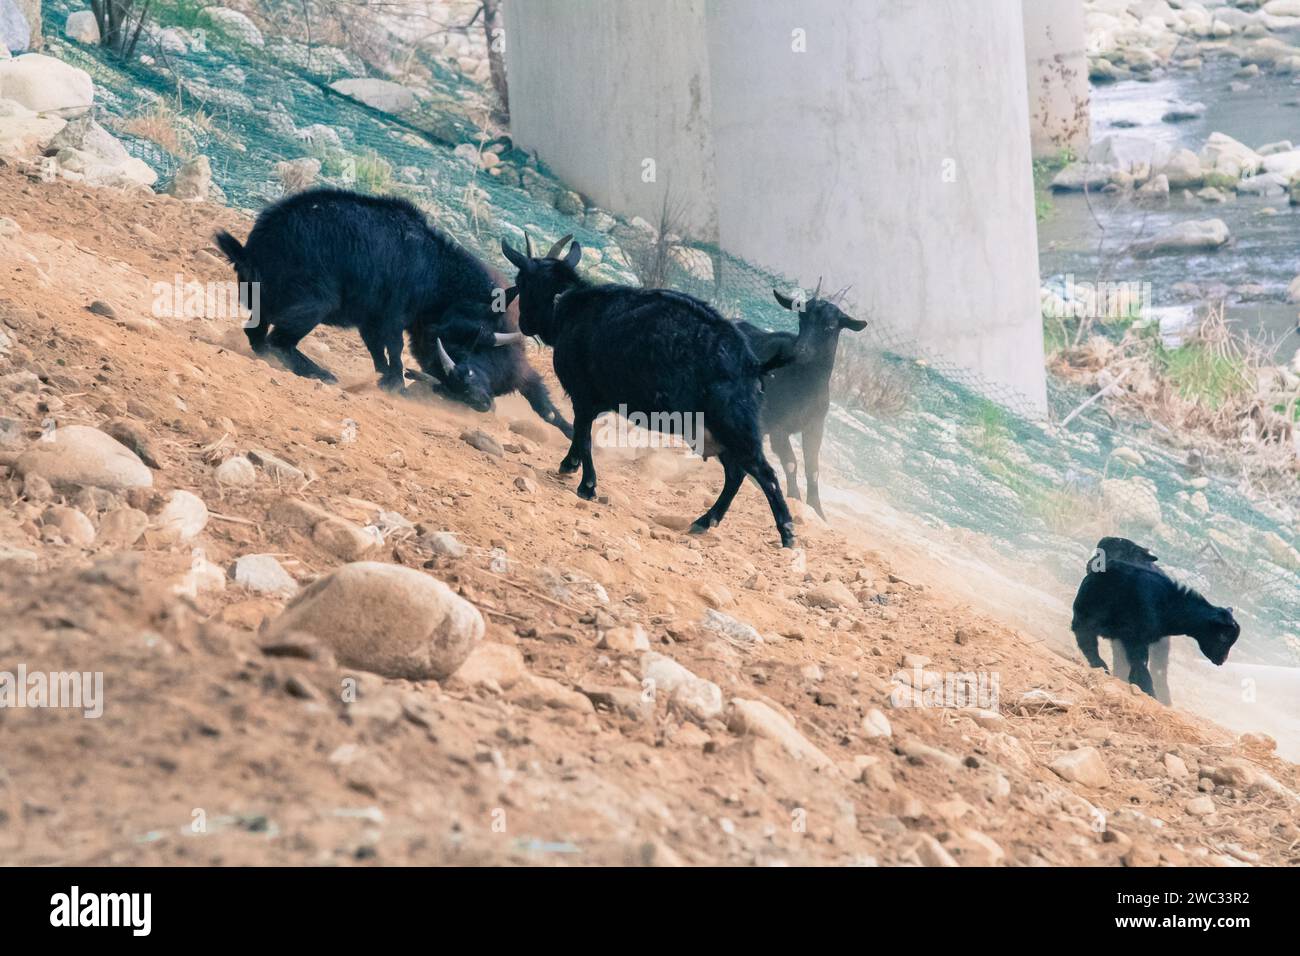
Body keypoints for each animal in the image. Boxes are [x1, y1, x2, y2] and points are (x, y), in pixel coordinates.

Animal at [214, 188, 570, 436]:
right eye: (476, 335)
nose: (470, 393)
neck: (435, 270)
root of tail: (249, 252)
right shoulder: (392, 314)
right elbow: (394, 348)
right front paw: (396, 383)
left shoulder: (374, 319)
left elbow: (379, 350)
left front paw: (386, 379)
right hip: (314, 303)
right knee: (279, 341)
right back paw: (321, 373)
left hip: (267, 308)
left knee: (258, 336)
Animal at [500, 236, 797, 548]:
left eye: (521, 281)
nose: (523, 323)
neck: (568, 305)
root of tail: (753, 365)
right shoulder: (592, 401)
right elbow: (581, 434)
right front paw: (570, 466)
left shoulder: (584, 394)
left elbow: (584, 436)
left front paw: (586, 485)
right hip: (710, 431)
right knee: (736, 472)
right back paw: (705, 522)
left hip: (734, 426)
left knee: (764, 473)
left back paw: (786, 533)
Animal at [735, 282, 866, 520]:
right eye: (800, 318)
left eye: (830, 326)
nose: (800, 350)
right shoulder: (778, 428)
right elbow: (791, 462)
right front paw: (794, 498)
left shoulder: (814, 427)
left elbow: (813, 469)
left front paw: (818, 510)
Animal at [1072, 546, 1239, 700]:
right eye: (1223, 636)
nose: (1222, 660)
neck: (1171, 606)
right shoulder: (1137, 638)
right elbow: (1140, 663)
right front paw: (1148, 691)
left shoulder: (1130, 639)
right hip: (1090, 614)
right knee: (1086, 638)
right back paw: (1102, 666)